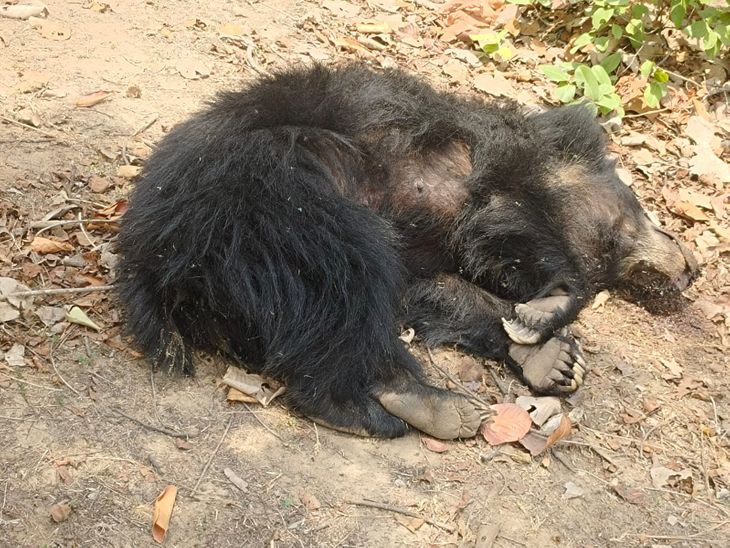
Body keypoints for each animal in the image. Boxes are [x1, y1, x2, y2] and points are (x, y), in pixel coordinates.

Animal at [116, 64, 698, 440]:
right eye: (648, 213)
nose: (692, 267)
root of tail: (150, 263)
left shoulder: (432, 250)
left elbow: (434, 290)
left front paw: (551, 360)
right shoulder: (492, 171)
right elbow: (508, 227)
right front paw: (551, 307)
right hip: (270, 198)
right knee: (349, 274)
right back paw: (411, 404)